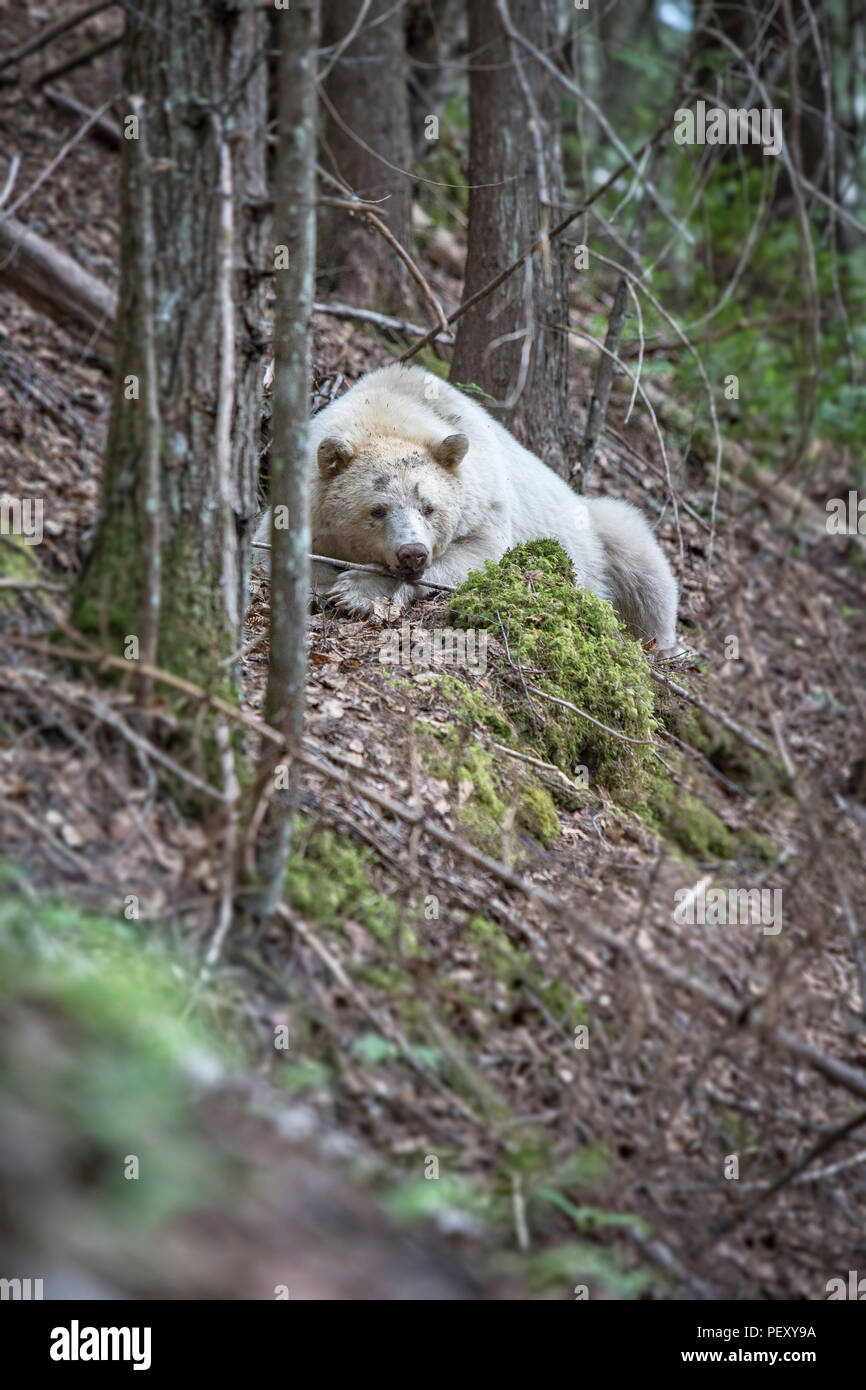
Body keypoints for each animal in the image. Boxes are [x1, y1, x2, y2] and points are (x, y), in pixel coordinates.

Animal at [254, 363, 680, 652]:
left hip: (599, 533)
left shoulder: (483, 499)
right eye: (377, 510)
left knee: (645, 573)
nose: (413, 552)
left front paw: (357, 591)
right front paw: (322, 581)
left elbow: (482, 553)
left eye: (429, 507)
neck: (387, 412)